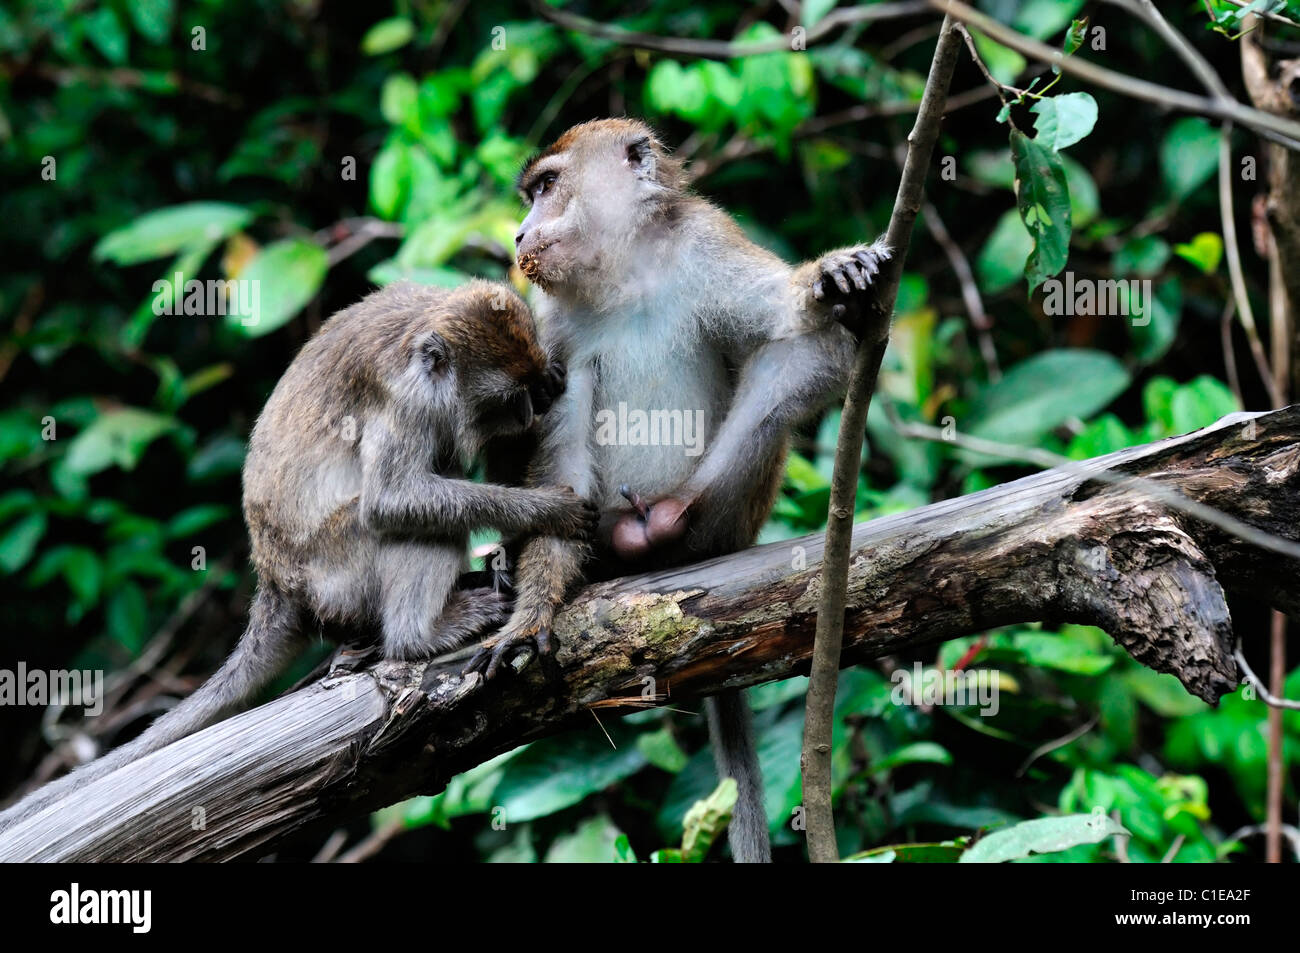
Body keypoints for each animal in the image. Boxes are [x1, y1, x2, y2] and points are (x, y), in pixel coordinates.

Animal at [0, 279, 596, 836]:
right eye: (511, 399)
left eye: (531, 389)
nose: (536, 405)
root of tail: (276, 583)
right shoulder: (411, 399)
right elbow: (394, 499)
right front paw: (548, 510)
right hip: (336, 570)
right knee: (403, 521)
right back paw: (419, 635)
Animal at [469, 118, 890, 863]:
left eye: (546, 187)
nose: (519, 234)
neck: (623, 271)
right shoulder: (554, 322)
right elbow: (557, 466)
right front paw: (532, 613)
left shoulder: (705, 239)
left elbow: (789, 320)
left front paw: (830, 276)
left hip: (735, 516)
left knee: (810, 352)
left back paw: (670, 518)